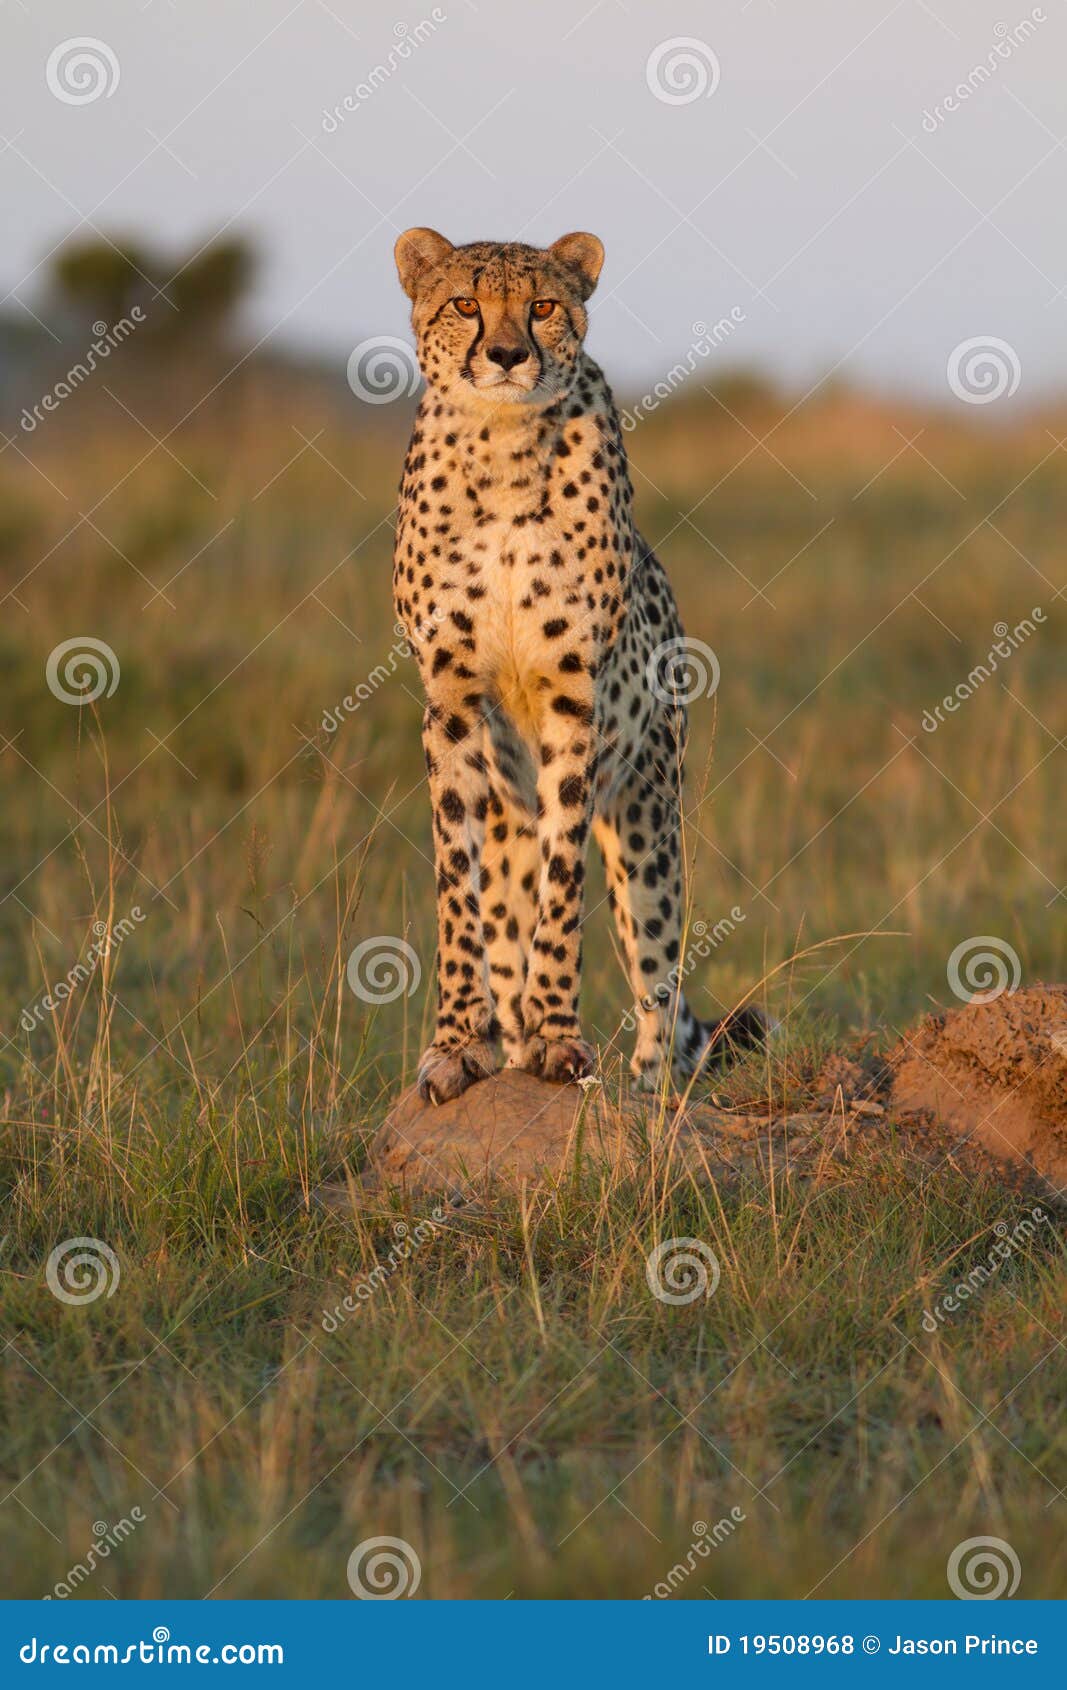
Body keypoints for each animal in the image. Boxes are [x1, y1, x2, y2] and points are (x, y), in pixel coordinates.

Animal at [391, 227, 765, 1103]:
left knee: (656, 972)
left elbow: (565, 886)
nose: (504, 355)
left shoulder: (573, 700)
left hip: (648, 817)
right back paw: (510, 1044)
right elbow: (456, 893)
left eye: (541, 306)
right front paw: (455, 1046)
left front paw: (561, 1038)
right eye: (464, 302)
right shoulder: (450, 701)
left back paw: (644, 1089)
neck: (502, 449)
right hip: (511, 823)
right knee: (504, 925)